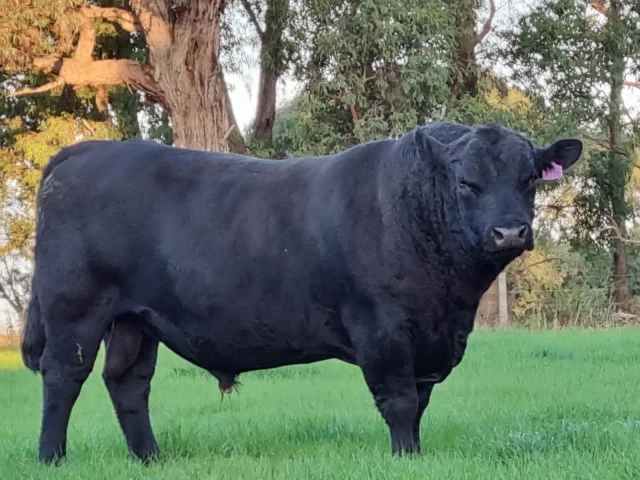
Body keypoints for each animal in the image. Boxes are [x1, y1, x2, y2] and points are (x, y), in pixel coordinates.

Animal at [21, 122, 582, 463]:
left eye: (530, 178)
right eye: (467, 183)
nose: (509, 232)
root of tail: (89, 150)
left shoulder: (428, 336)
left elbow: (419, 402)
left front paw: (415, 454)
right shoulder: (382, 328)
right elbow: (400, 402)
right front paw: (405, 457)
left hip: (136, 320)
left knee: (127, 383)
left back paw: (151, 459)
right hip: (75, 309)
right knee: (63, 377)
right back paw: (52, 457)